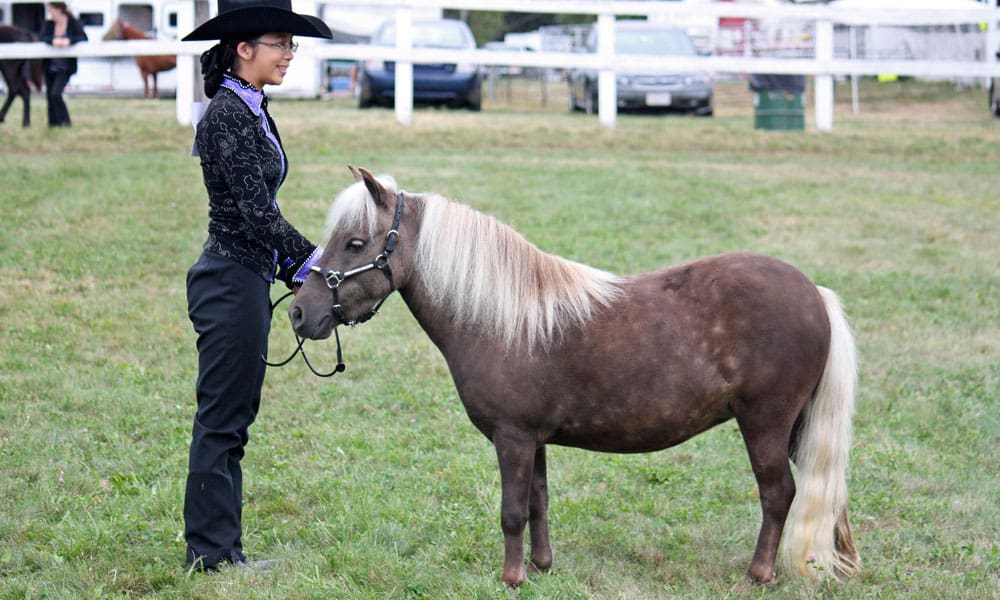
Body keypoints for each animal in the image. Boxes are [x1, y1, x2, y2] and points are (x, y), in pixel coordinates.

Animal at [289, 166, 862, 588]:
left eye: (356, 243)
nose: (298, 313)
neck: (503, 319)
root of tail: (814, 294)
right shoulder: (533, 439)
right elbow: (538, 502)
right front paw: (540, 568)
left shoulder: (513, 438)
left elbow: (511, 511)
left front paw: (511, 578)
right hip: (795, 426)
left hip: (765, 422)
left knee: (779, 493)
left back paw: (759, 574)